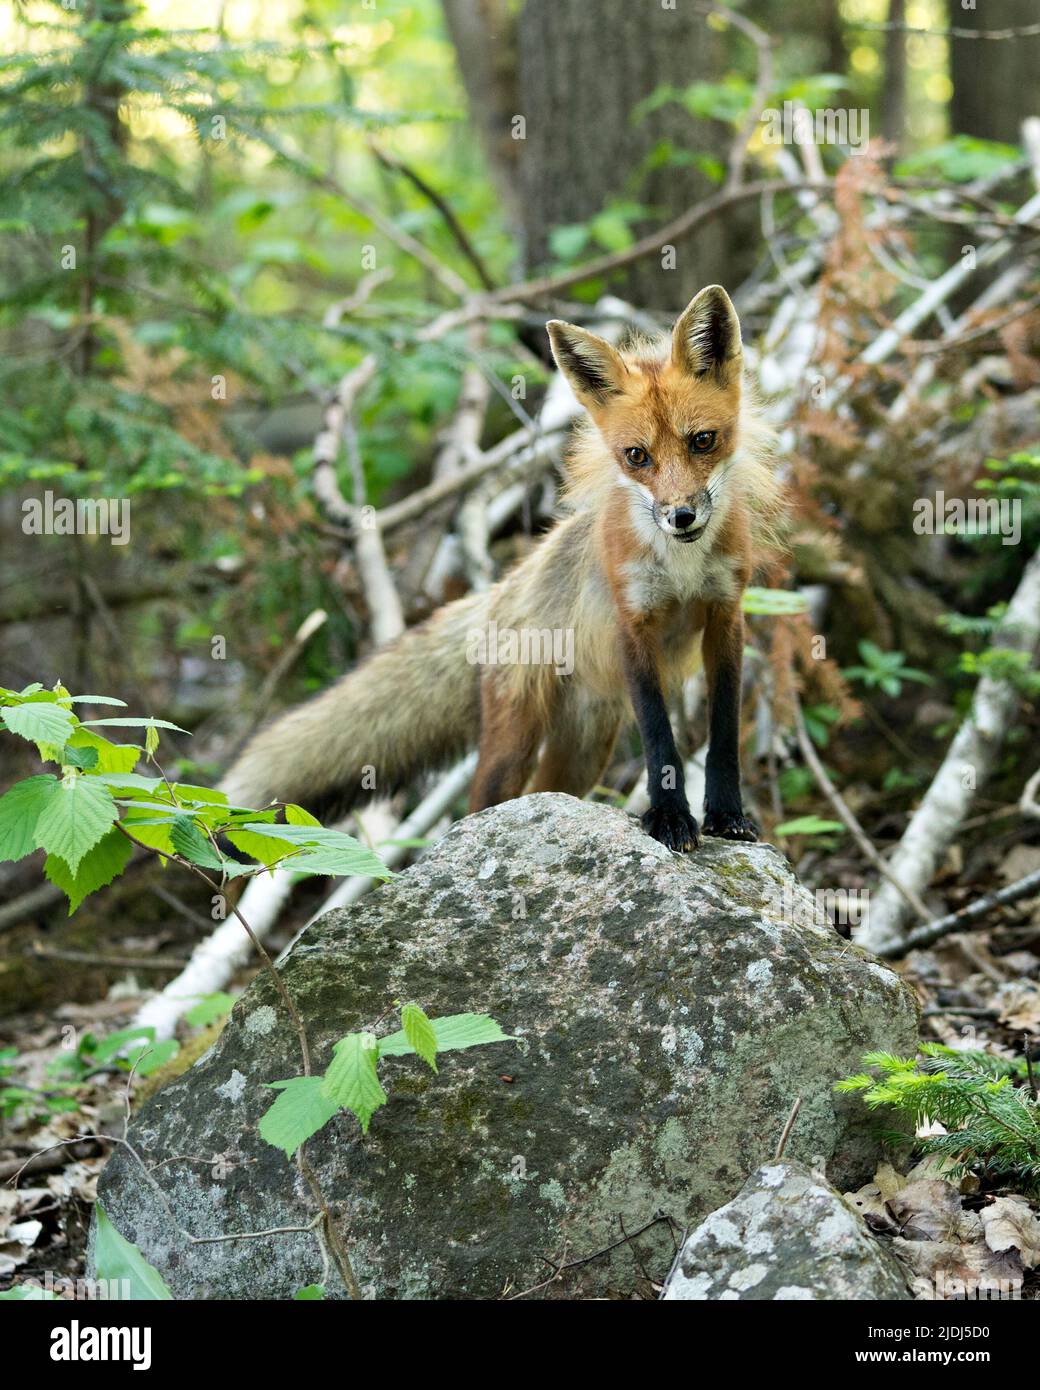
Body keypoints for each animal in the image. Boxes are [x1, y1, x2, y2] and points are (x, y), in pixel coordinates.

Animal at [221, 285, 781, 852]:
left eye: (702, 440)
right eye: (636, 456)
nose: (681, 516)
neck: (682, 567)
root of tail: (496, 593)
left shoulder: (726, 615)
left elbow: (724, 734)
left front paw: (727, 816)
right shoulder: (634, 623)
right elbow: (660, 740)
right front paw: (668, 817)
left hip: (585, 746)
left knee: (547, 792)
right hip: (511, 744)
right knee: (487, 803)